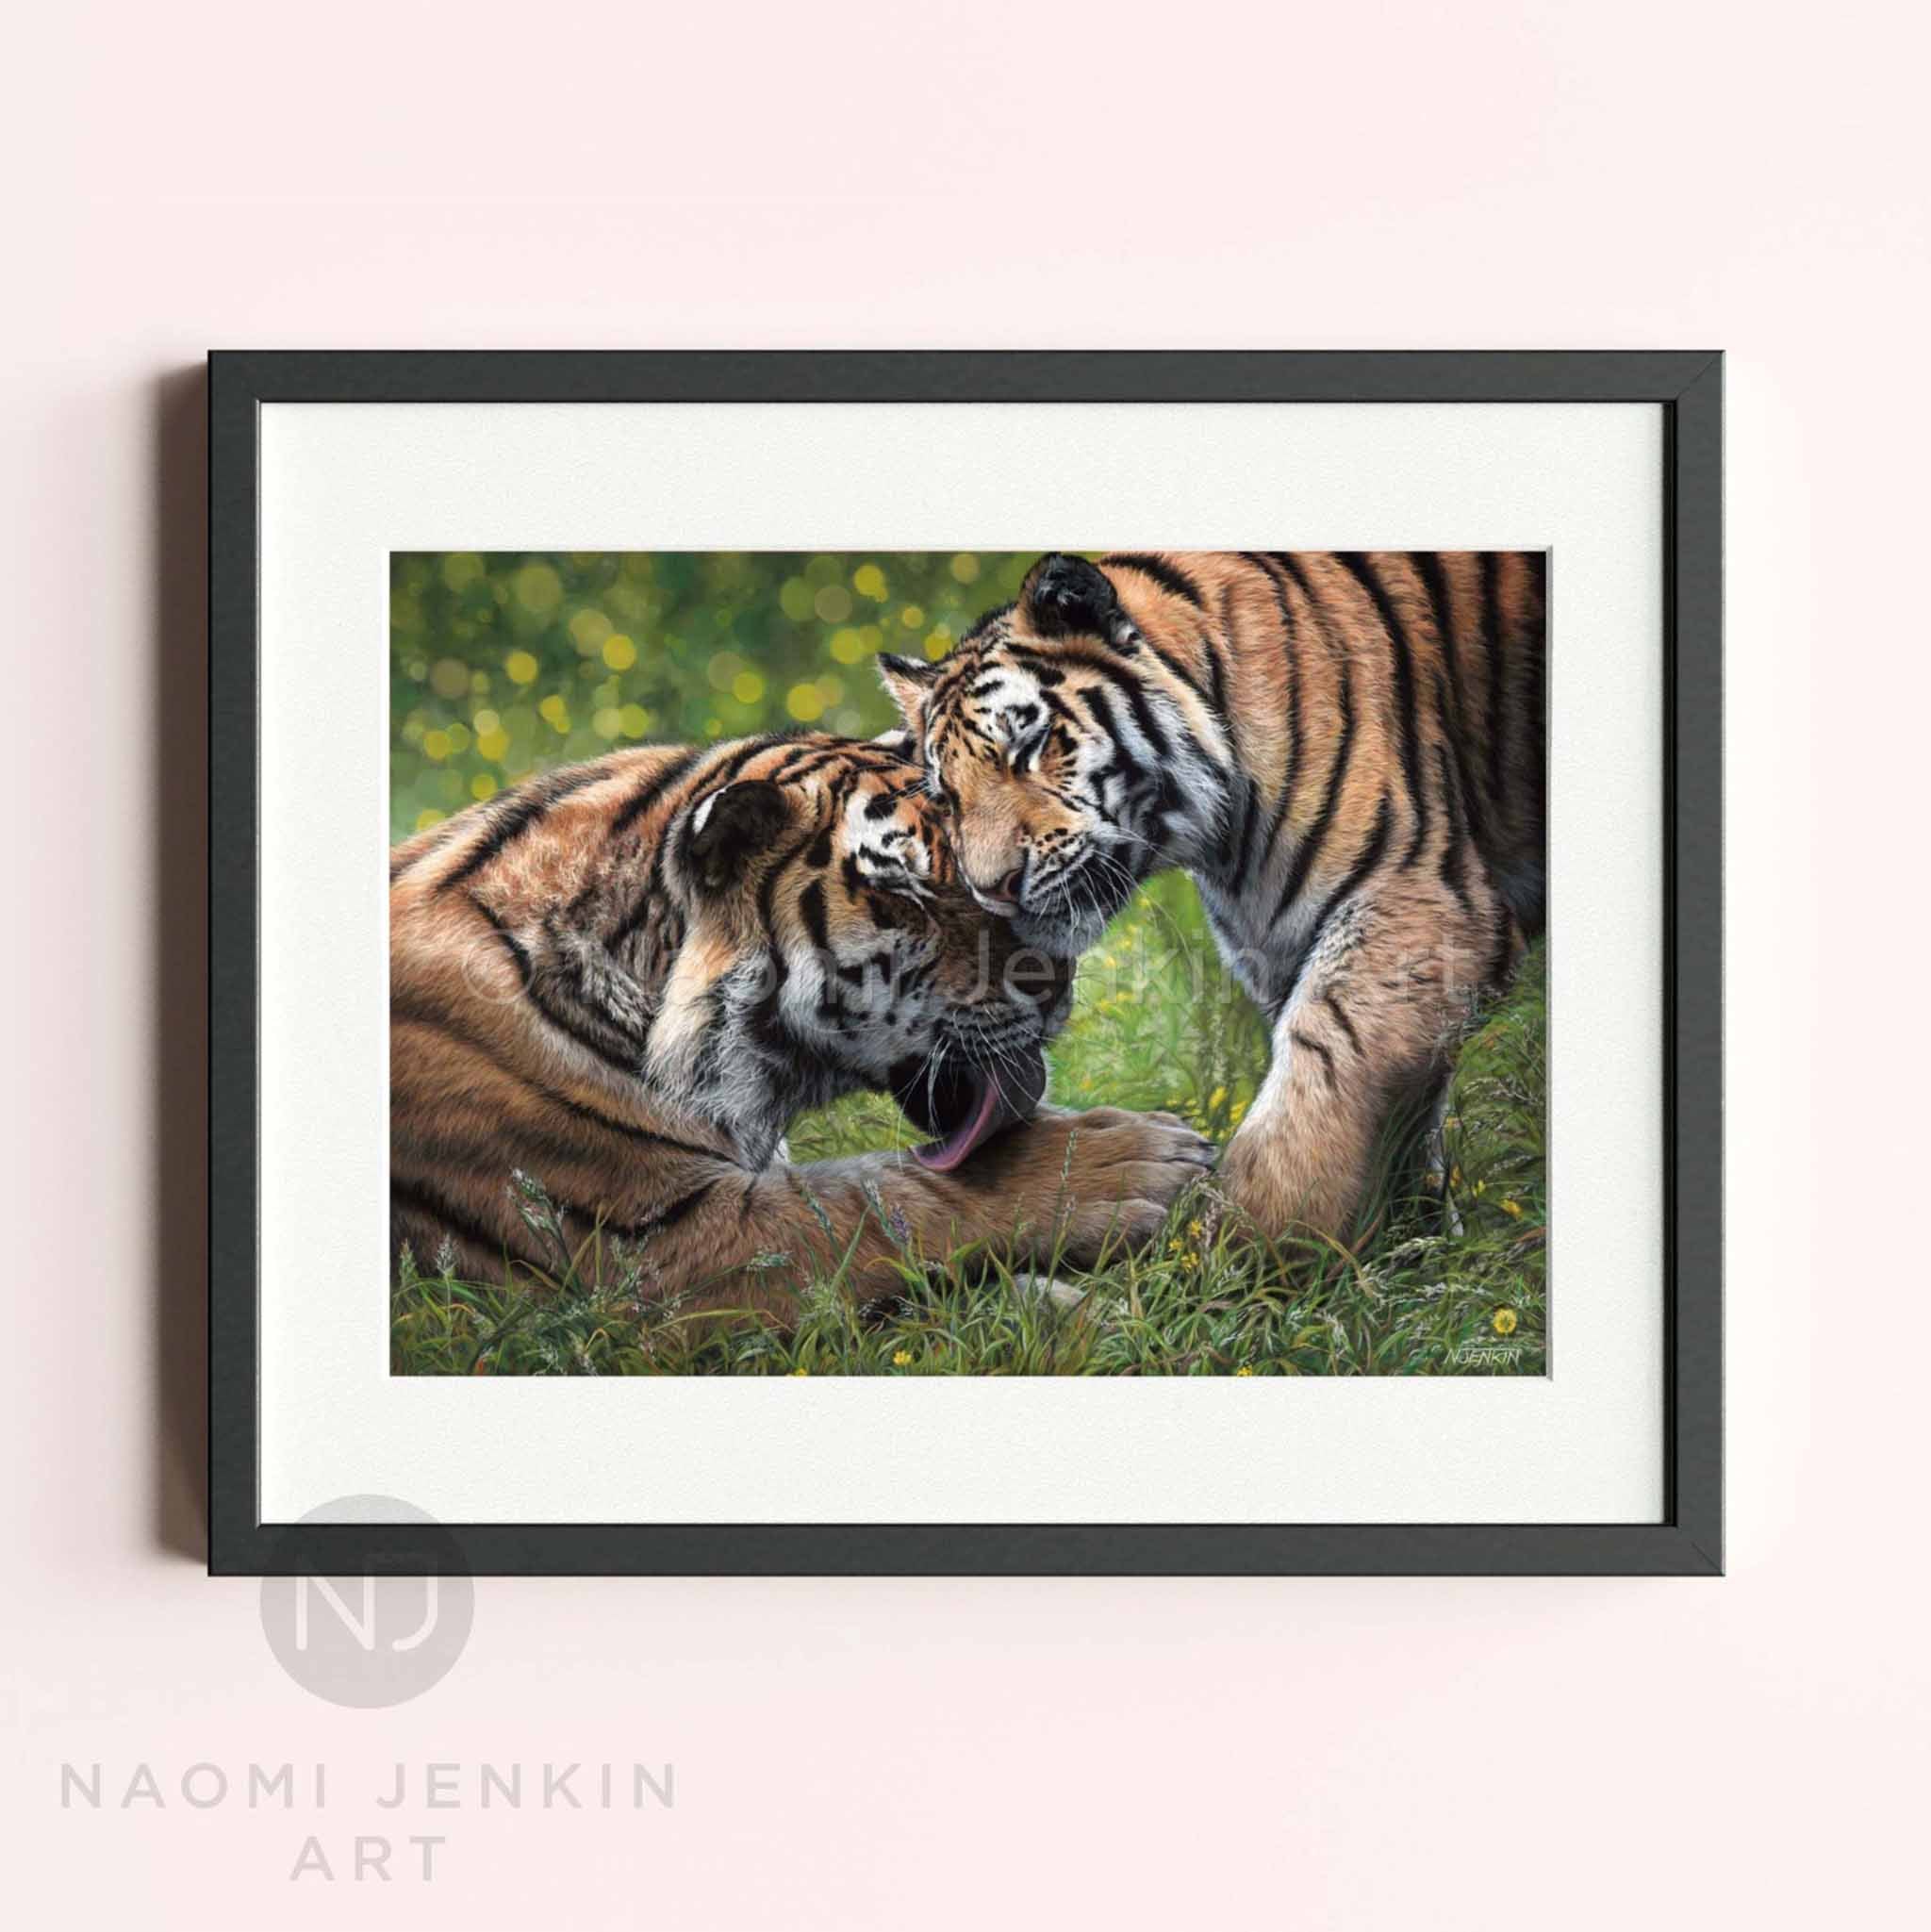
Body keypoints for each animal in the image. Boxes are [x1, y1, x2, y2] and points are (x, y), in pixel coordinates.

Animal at [389, 729, 1212, 1320]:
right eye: (906, 895)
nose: (1056, 981)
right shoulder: (647, 1247)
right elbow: (877, 1195)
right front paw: (1130, 1159)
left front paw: (1089, 1315)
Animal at [877, 551, 1546, 1244]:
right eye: (947, 796)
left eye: (1029, 748)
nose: (993, 888)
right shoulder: (1284, 943)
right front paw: (1410, 1237)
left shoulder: (1417, 895)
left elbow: (1325, 1061)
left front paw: (1253, 1243)